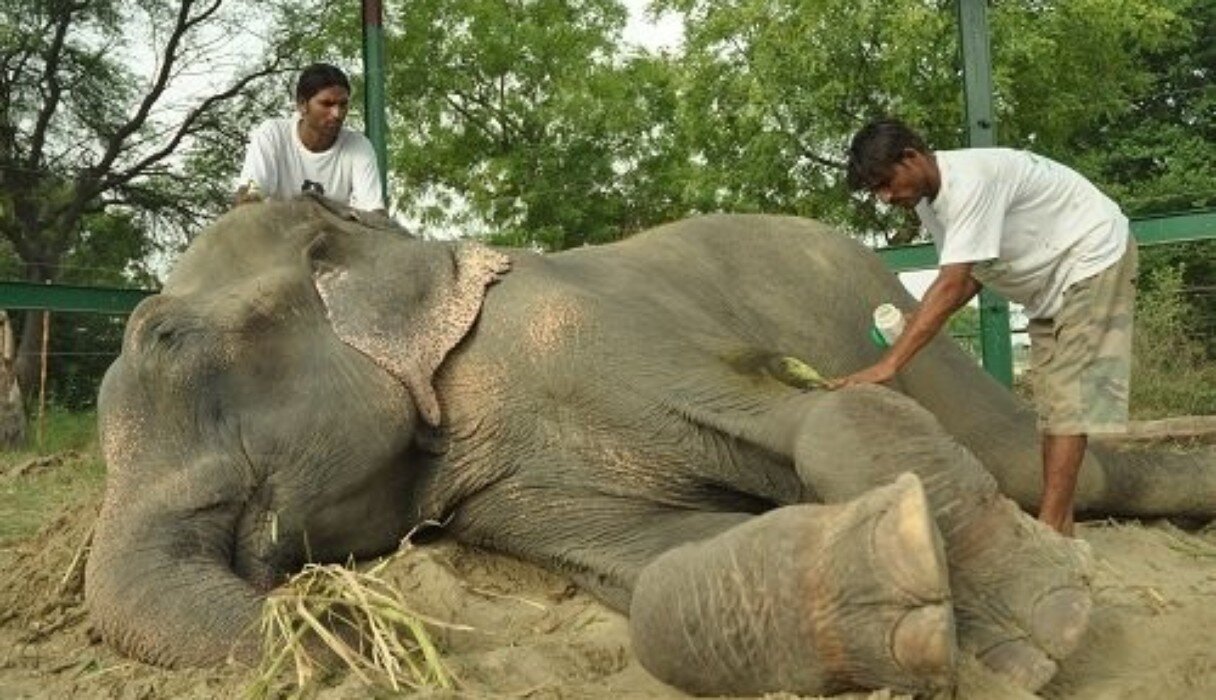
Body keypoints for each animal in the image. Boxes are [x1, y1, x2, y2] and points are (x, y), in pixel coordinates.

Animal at [84, 196, 1216, 697]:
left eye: (165, 338)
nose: (342, 636)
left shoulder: (580, 329)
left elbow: (814, 413)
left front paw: (1039, 628)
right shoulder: (505, 490)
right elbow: (662, 573)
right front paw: (910, 599)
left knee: (1045, 457)